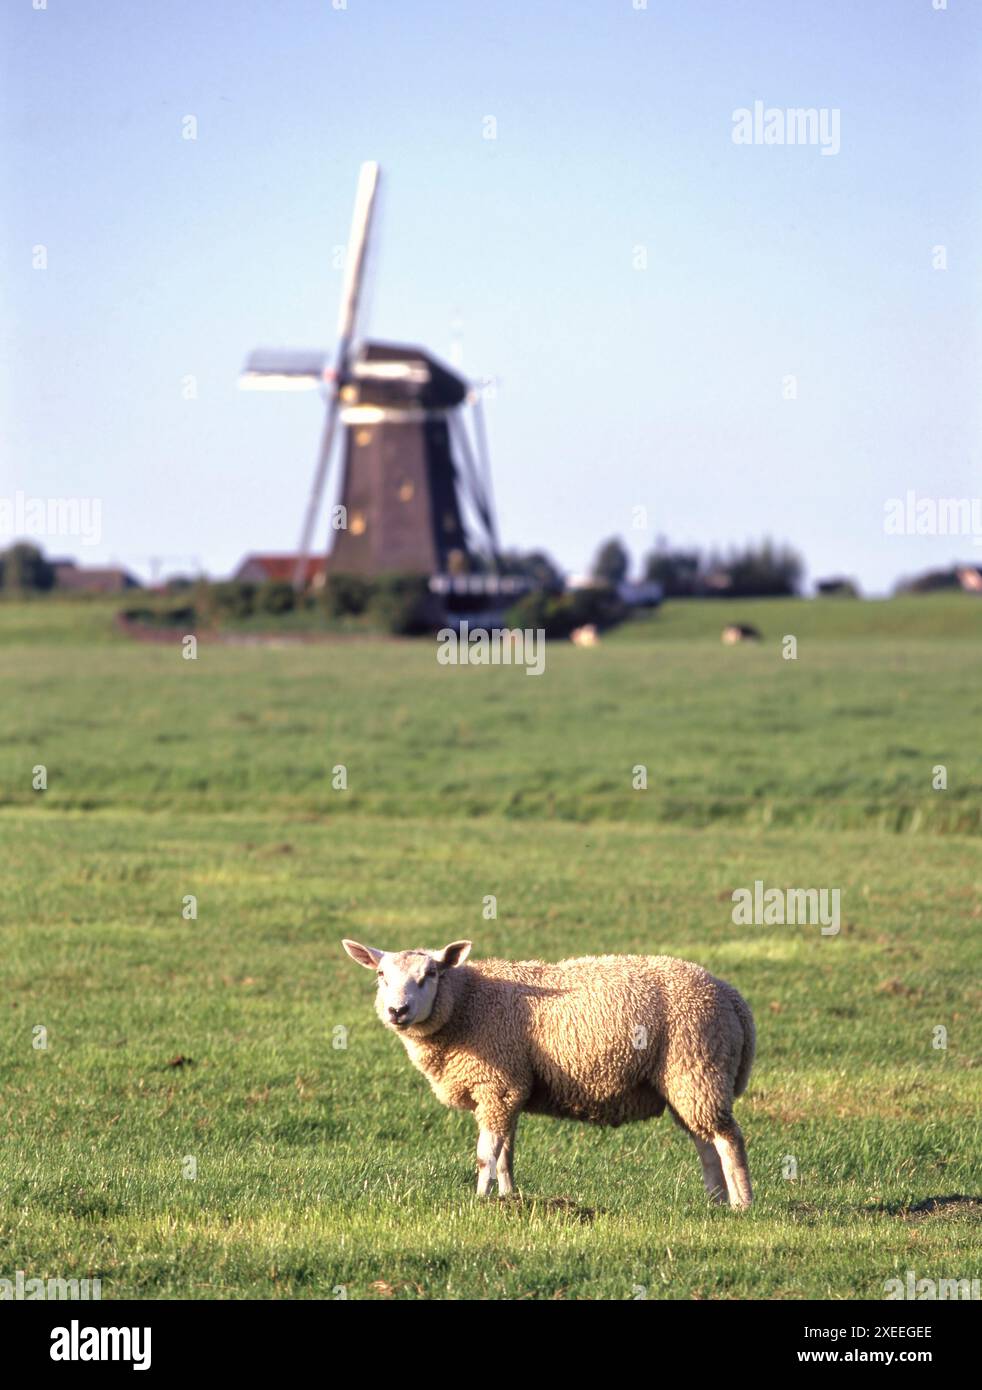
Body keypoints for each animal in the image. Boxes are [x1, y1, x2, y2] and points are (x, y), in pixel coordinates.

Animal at [341, 939, 755, 1208]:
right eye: (381, 974)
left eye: (431, 973)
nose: (397, 1010)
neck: (466, 1004)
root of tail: (732, 997)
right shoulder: (510, 1088)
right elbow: (505, 1153)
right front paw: (507, 1197)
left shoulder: (496, 1084)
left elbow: (485, 1153)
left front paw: (479, 1199)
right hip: (689, 1082)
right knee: (705, 1143)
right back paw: (715, 1202)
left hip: (698, 1066)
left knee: (728, 1140)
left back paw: (742, 1204)